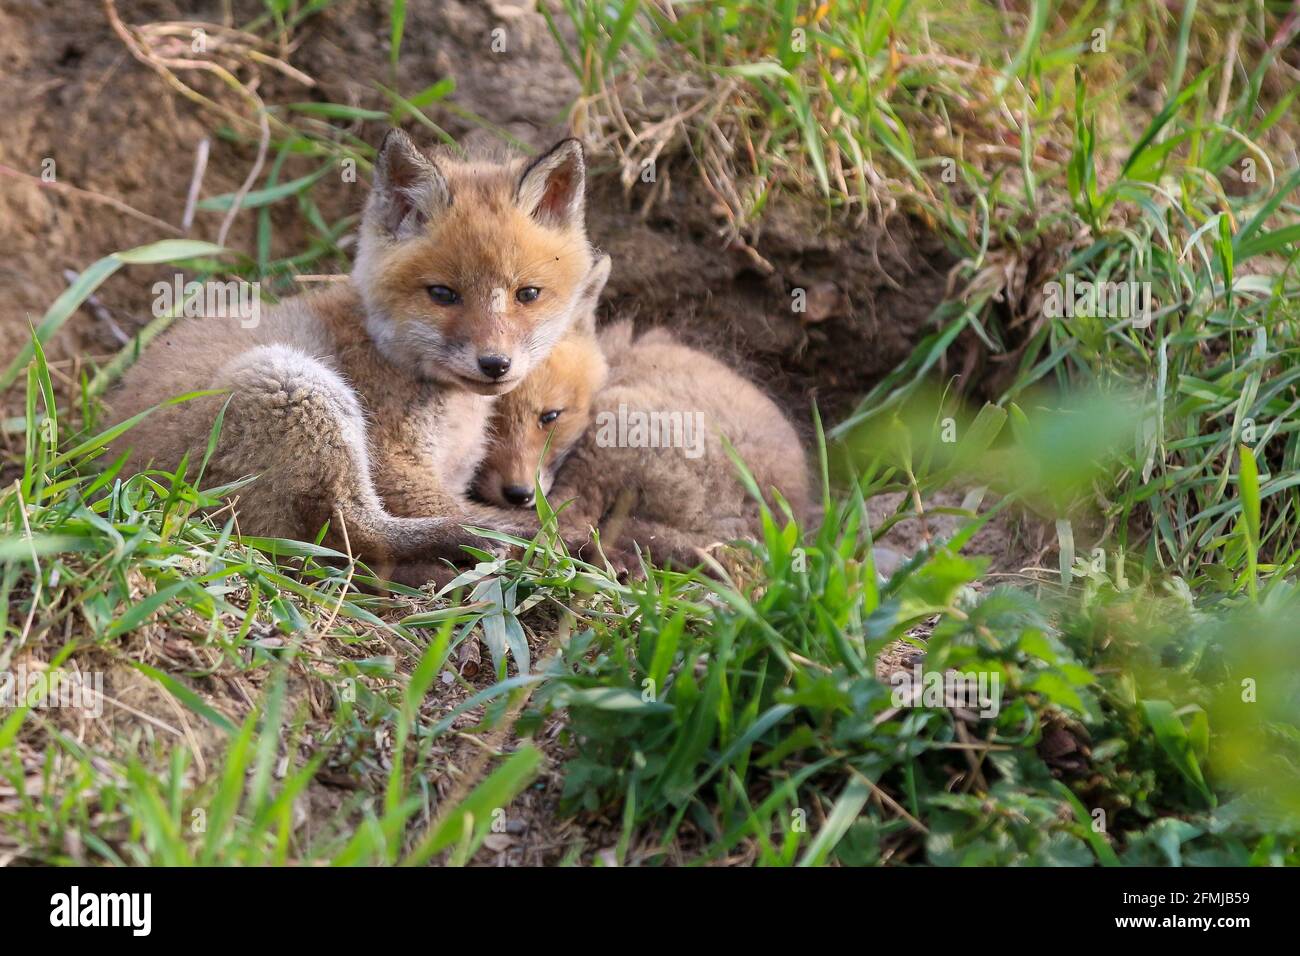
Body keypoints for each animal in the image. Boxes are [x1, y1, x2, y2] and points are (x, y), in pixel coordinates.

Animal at [107, 129, 606, 577]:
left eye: (528, 294)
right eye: (443, 294)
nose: (495, 364)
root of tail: (114, 471)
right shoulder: (392, 464)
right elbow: (458, 508)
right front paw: (552, 533)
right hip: (296, 387)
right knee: (357, 529)